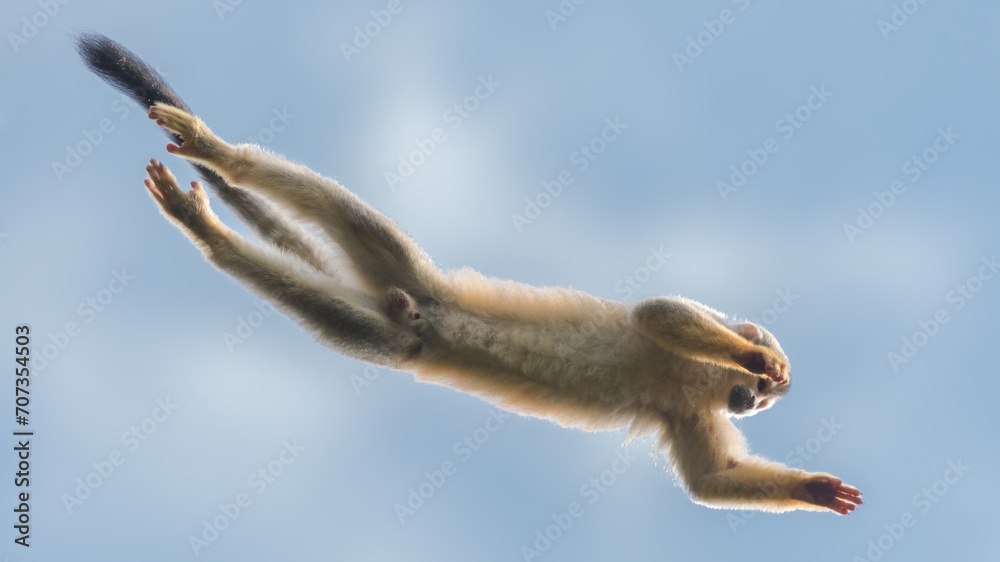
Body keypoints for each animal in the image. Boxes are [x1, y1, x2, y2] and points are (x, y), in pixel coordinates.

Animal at [78, 34, 862, 515]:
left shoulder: (690, 410)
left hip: (400, 315)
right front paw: (750, 353)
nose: (753, 402)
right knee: (352, 219)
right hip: (407, 265)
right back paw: (217, 181)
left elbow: (710, 481)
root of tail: (412, 300)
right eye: (761, 396)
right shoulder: (690, 375)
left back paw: (215, 232)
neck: (699, 383)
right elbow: (654, 313)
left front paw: (814, 488)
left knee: (368, 329)